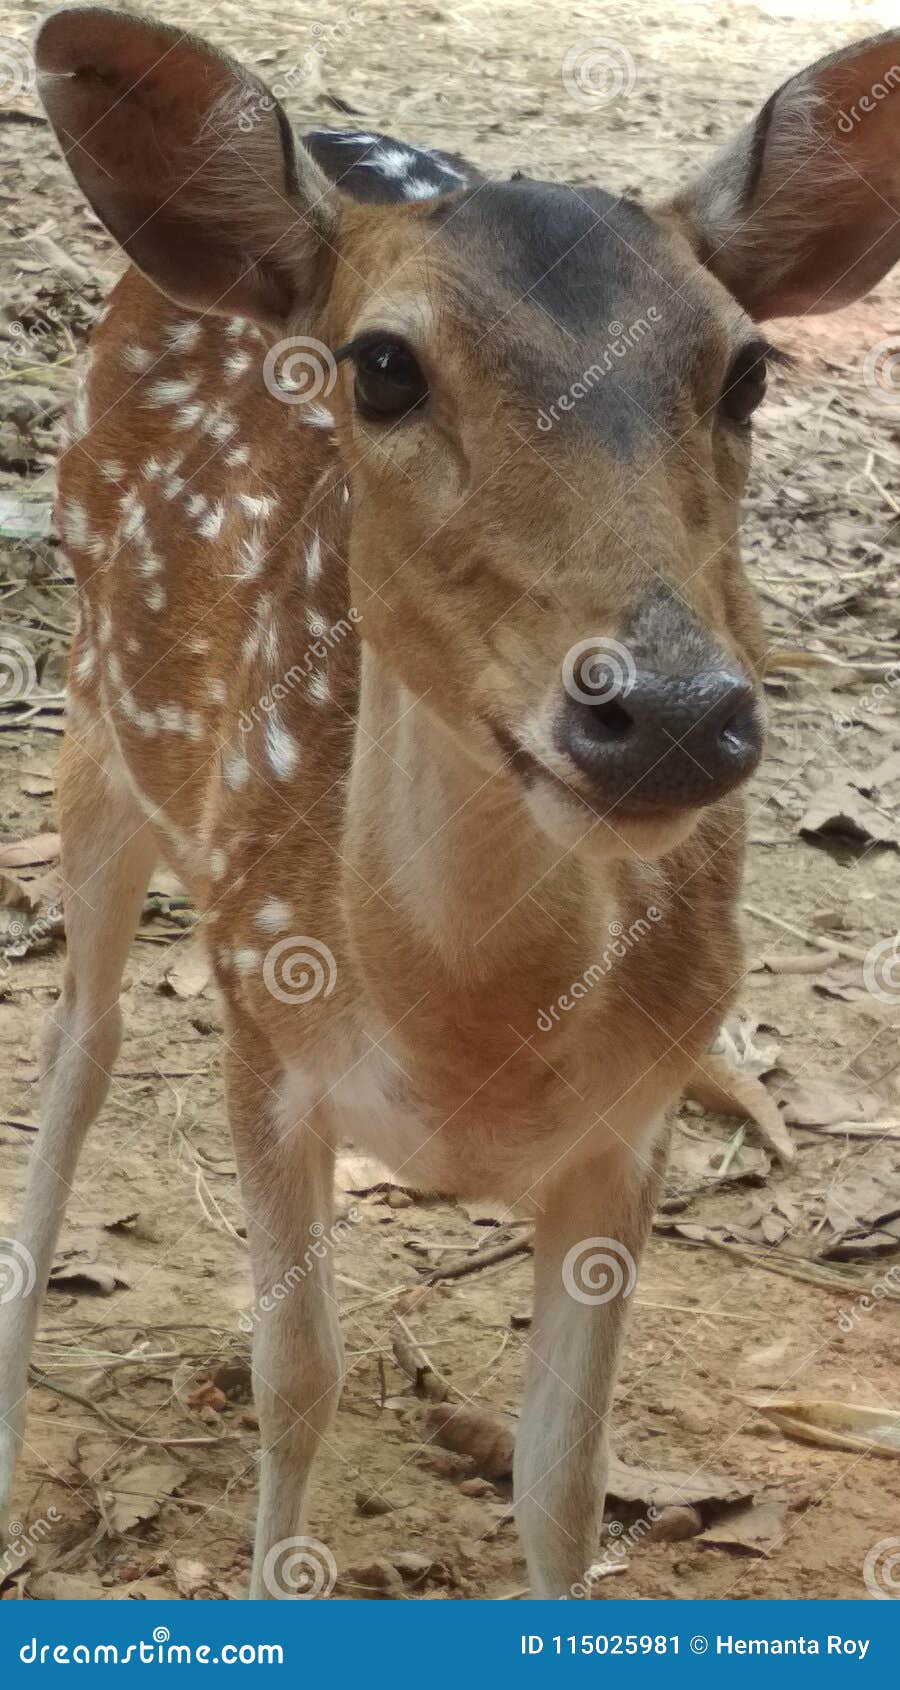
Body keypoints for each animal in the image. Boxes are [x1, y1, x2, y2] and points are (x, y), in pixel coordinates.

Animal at [1, 5, 898, 1599]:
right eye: (381, 366)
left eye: (747, 372)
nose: (668, 712)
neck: (470, 1035)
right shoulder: (264, 1020)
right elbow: (297, 1381)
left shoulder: (638, 1117)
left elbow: (565, 1479)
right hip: (102, 720)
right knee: (77, 1047)